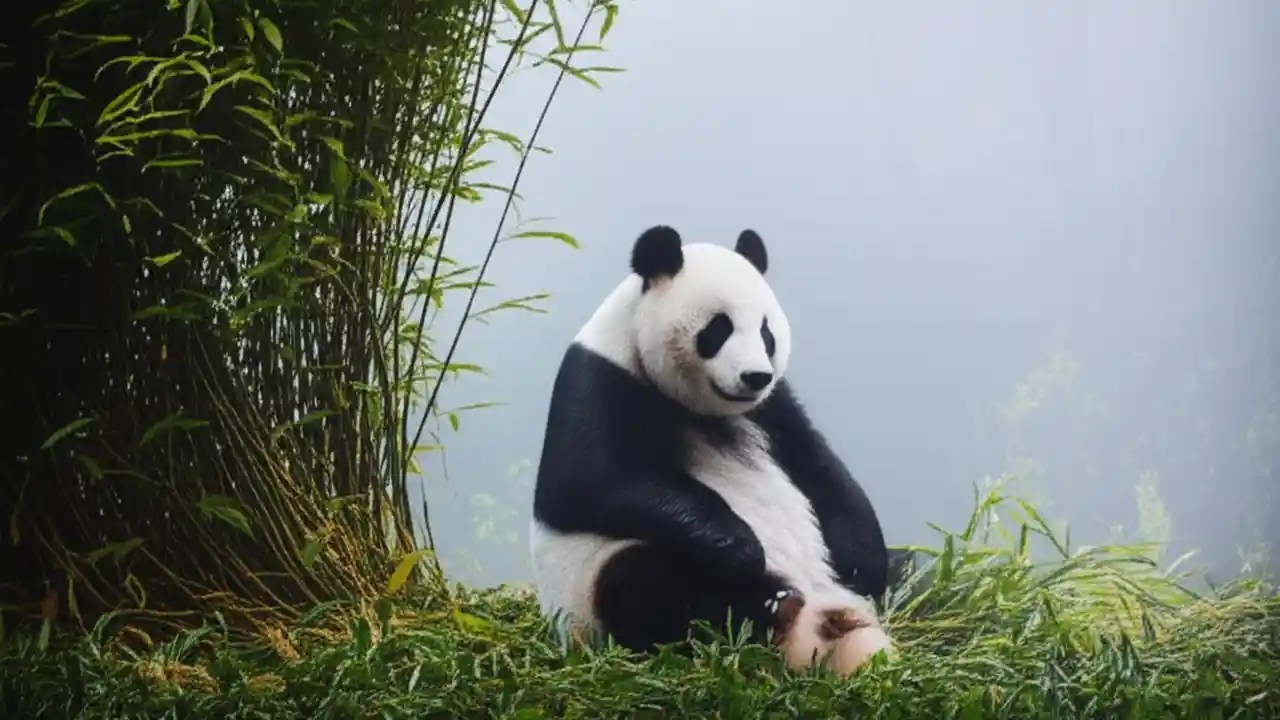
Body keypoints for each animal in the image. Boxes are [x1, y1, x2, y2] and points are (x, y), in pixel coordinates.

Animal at [528, 225, 893, 674]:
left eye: (766, 333)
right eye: (718, 329)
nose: (755, 376)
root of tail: (818, 627)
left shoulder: (773, 407)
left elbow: (818, 465)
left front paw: (863, 559)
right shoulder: (598, 378)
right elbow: (590, 483)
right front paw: (741, 547)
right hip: (588, 593)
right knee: (642, 584)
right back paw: (771, 606)